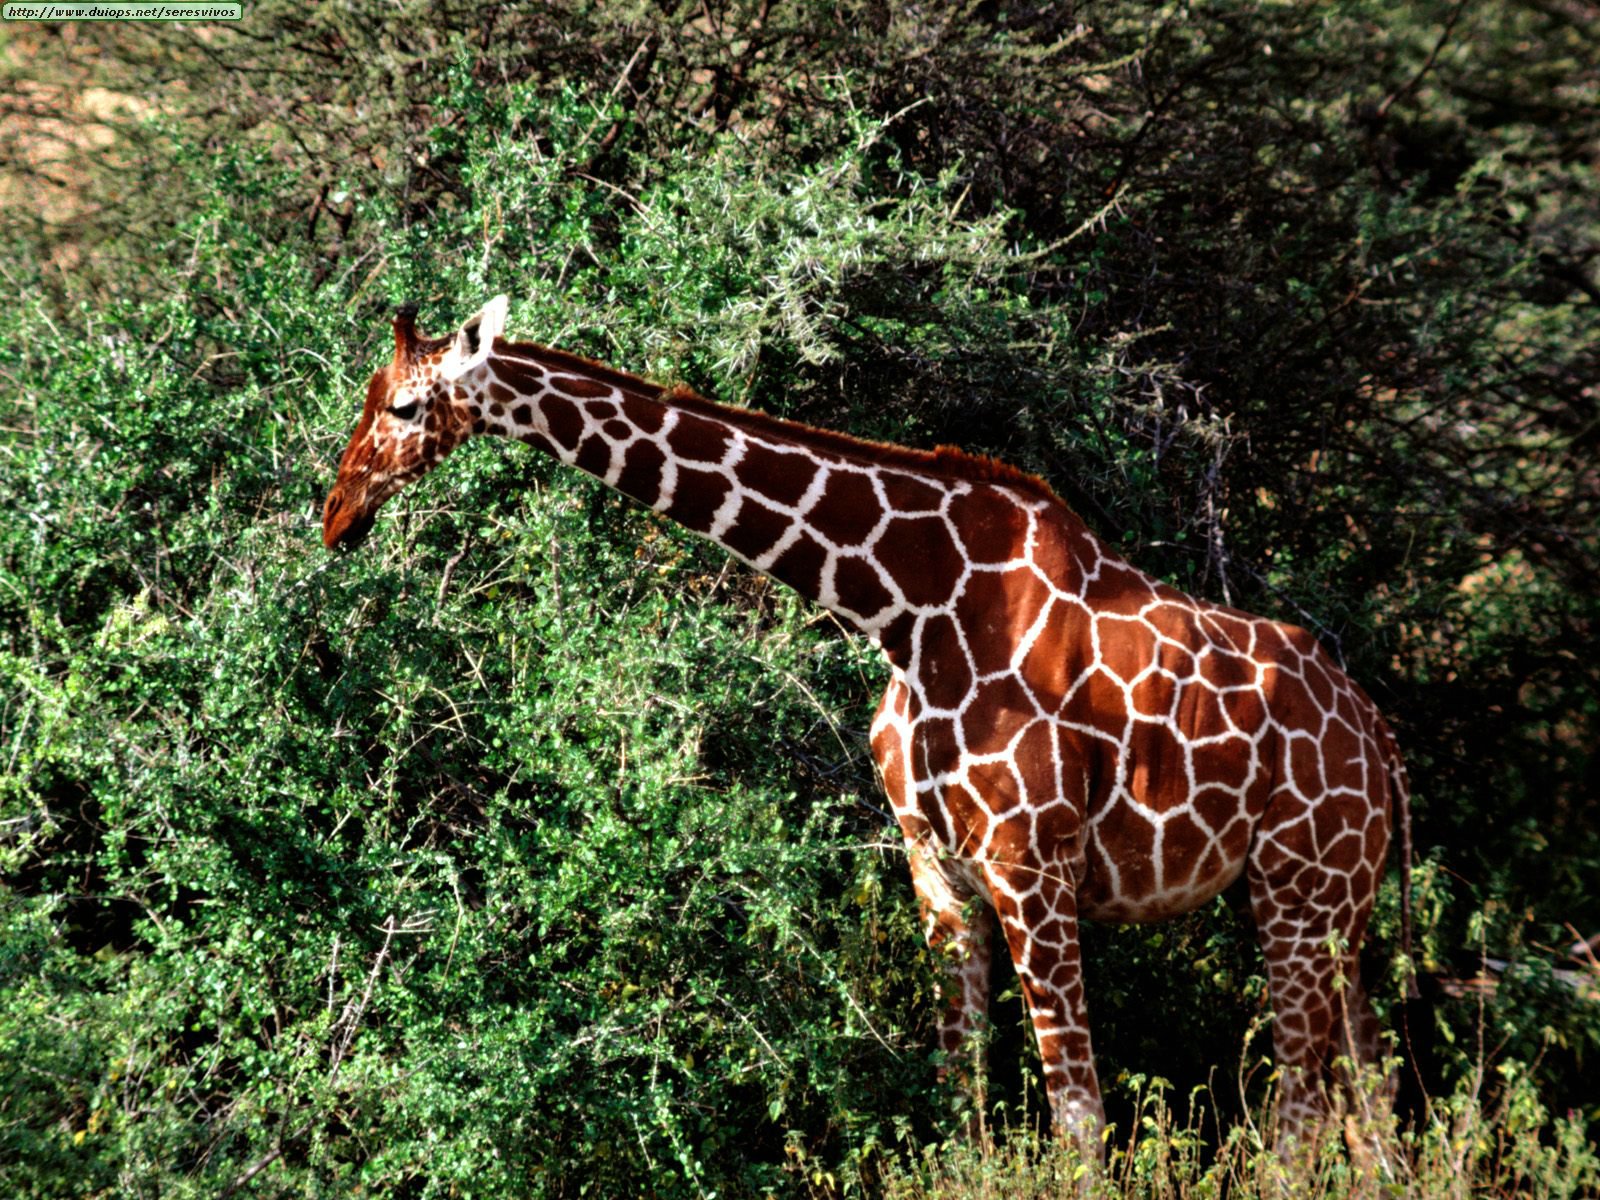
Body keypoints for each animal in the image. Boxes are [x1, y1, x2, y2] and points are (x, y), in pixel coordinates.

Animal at [323, 296, 1414, 1156]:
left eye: (406, 406)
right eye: (366, 397)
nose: (337, 515)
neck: (905, 608)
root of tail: (1380, 739)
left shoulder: (1033, 867)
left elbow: (1076, 1116)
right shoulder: (937, 870)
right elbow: (960, 1094)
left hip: (1298, 888)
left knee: (1305, 1109)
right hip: (1337, 905)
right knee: (1372, 1095)